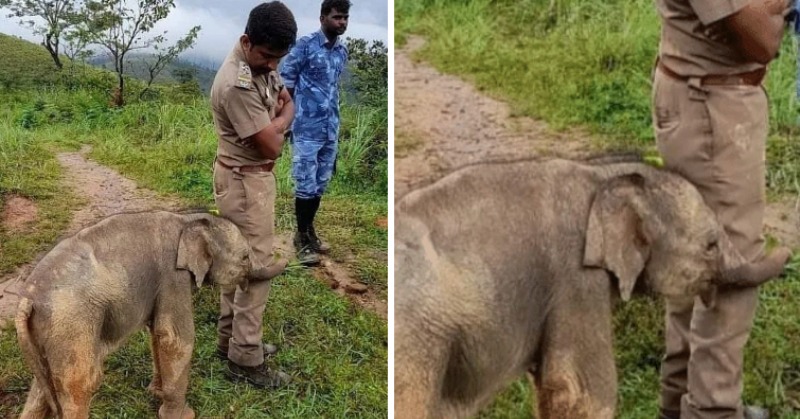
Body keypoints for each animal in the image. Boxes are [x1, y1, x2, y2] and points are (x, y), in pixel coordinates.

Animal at [14, 211, 285, 419]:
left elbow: (157, 333)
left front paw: (155, 392)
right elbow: (175, 338)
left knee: (42, 387)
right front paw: (185, 415)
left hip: (46, 333)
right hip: (72, 325)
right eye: (245, 257)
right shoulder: (173, 276)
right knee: (80, 384)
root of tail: (28, 299)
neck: (189, 219)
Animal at [393, 157, 791, 419]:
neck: (603, 175)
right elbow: (582, 392)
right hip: (419, 347)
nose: (786, 250)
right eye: (710, 245)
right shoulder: (576, 278)